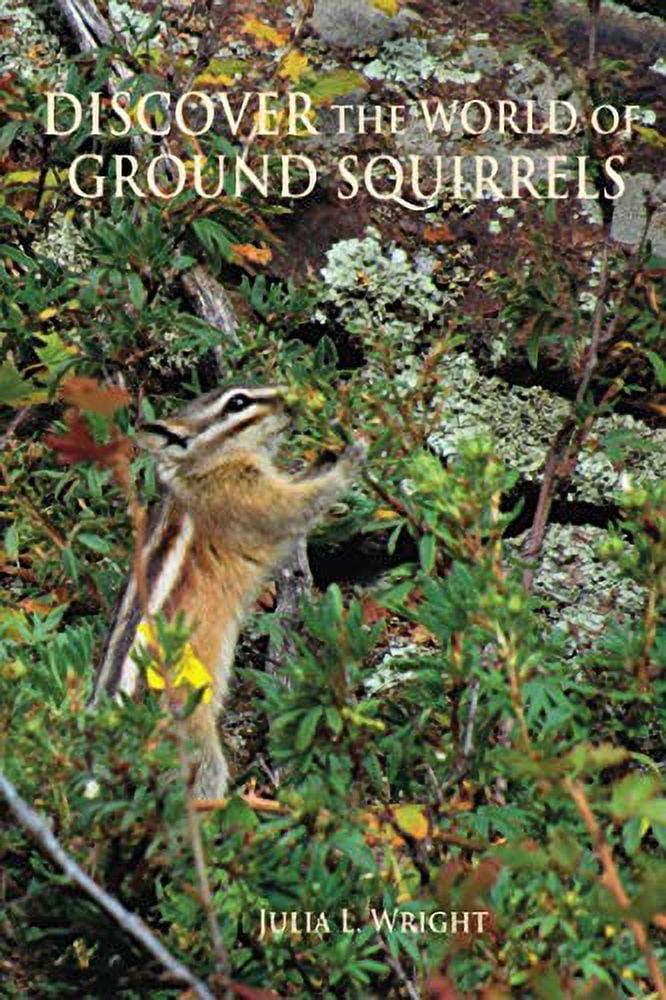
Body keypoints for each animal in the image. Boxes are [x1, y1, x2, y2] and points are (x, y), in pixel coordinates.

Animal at [90, 384, 366, 799]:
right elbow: (298, 505)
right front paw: (351, 456)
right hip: (191, 742)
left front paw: (327, 451)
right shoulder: (247, 497)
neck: (199, 470)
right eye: (238, 402)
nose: (292, 397)